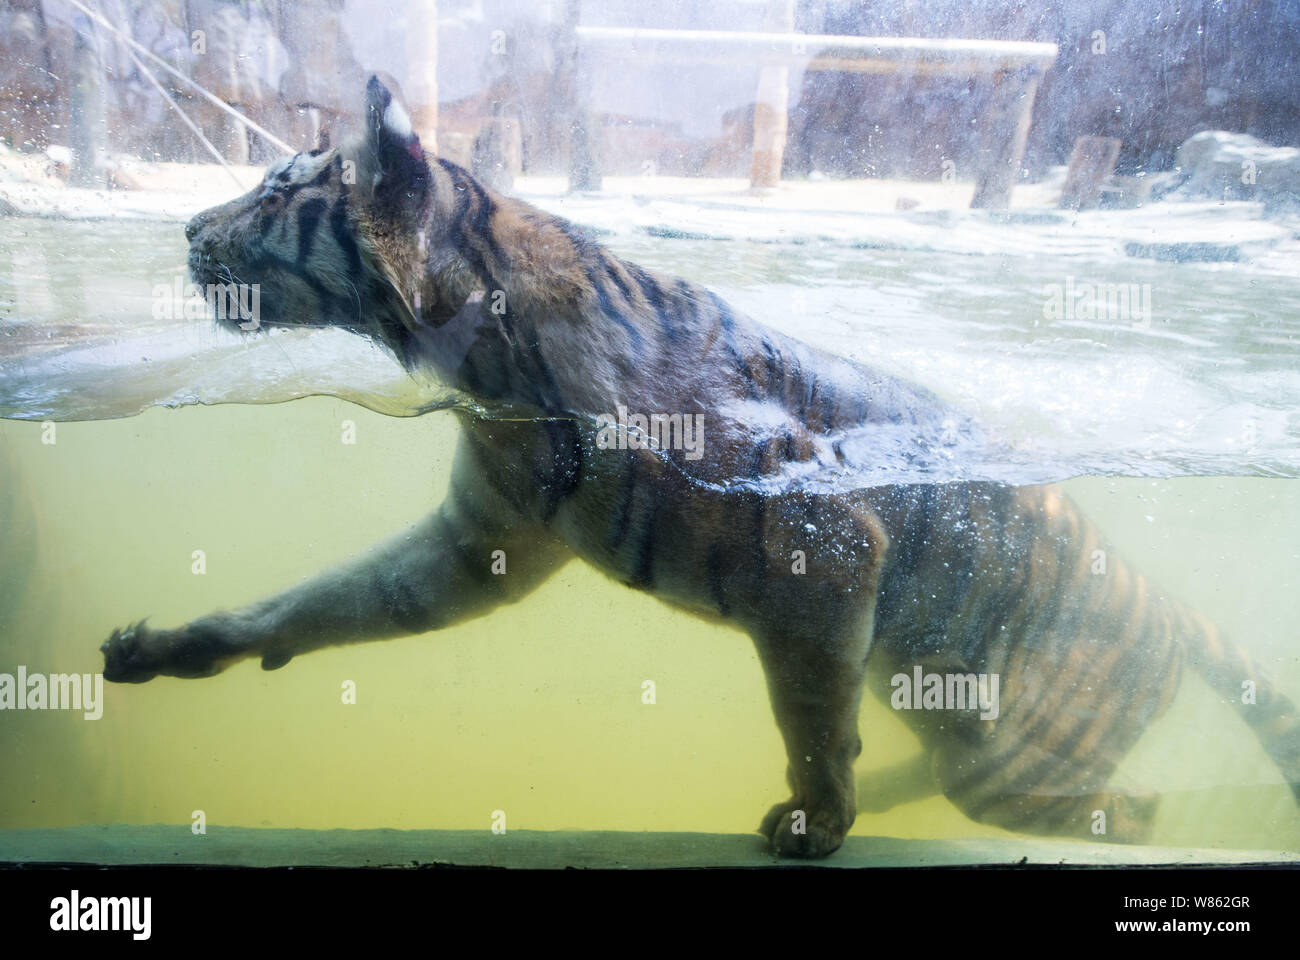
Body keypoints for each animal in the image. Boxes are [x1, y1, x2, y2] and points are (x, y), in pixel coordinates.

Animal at [99, 75, 1300, 858]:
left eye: (272, 193)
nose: (188, 230)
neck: (473, 352)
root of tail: (1165, 601)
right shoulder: (479, 540)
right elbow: (330, 603)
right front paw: (178, 646)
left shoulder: (822, 549)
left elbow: (806, 710)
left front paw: (815, 820)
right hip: (944, 705)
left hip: (1009, 750)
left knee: (1107, 806)